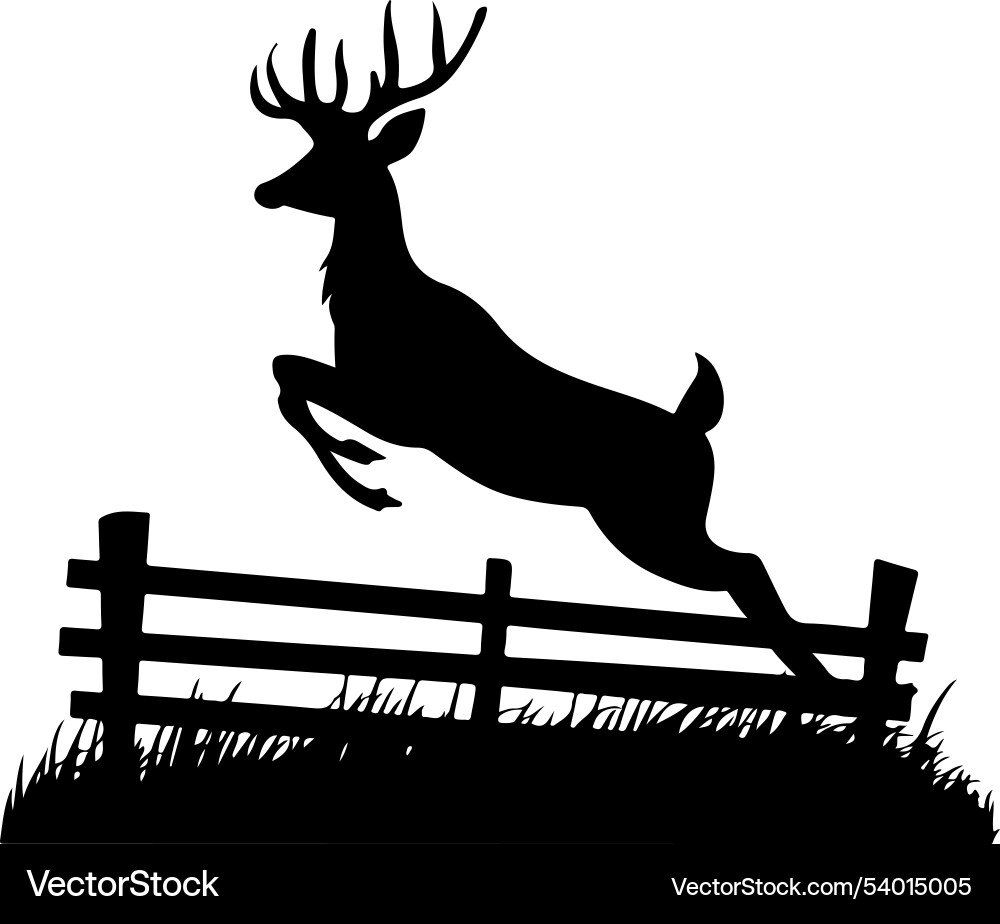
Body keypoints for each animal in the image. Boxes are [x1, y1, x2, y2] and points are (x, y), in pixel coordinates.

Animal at [251, 3, 830, 680]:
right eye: (309, 148)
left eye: (345, 158)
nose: (265, 189)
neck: (376, 306)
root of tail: (697, 428)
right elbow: (284, 373)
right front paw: (361, 466)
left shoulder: (407, 411)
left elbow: (288, 373)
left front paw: (368, 480)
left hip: (650, 520)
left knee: (746, 565)